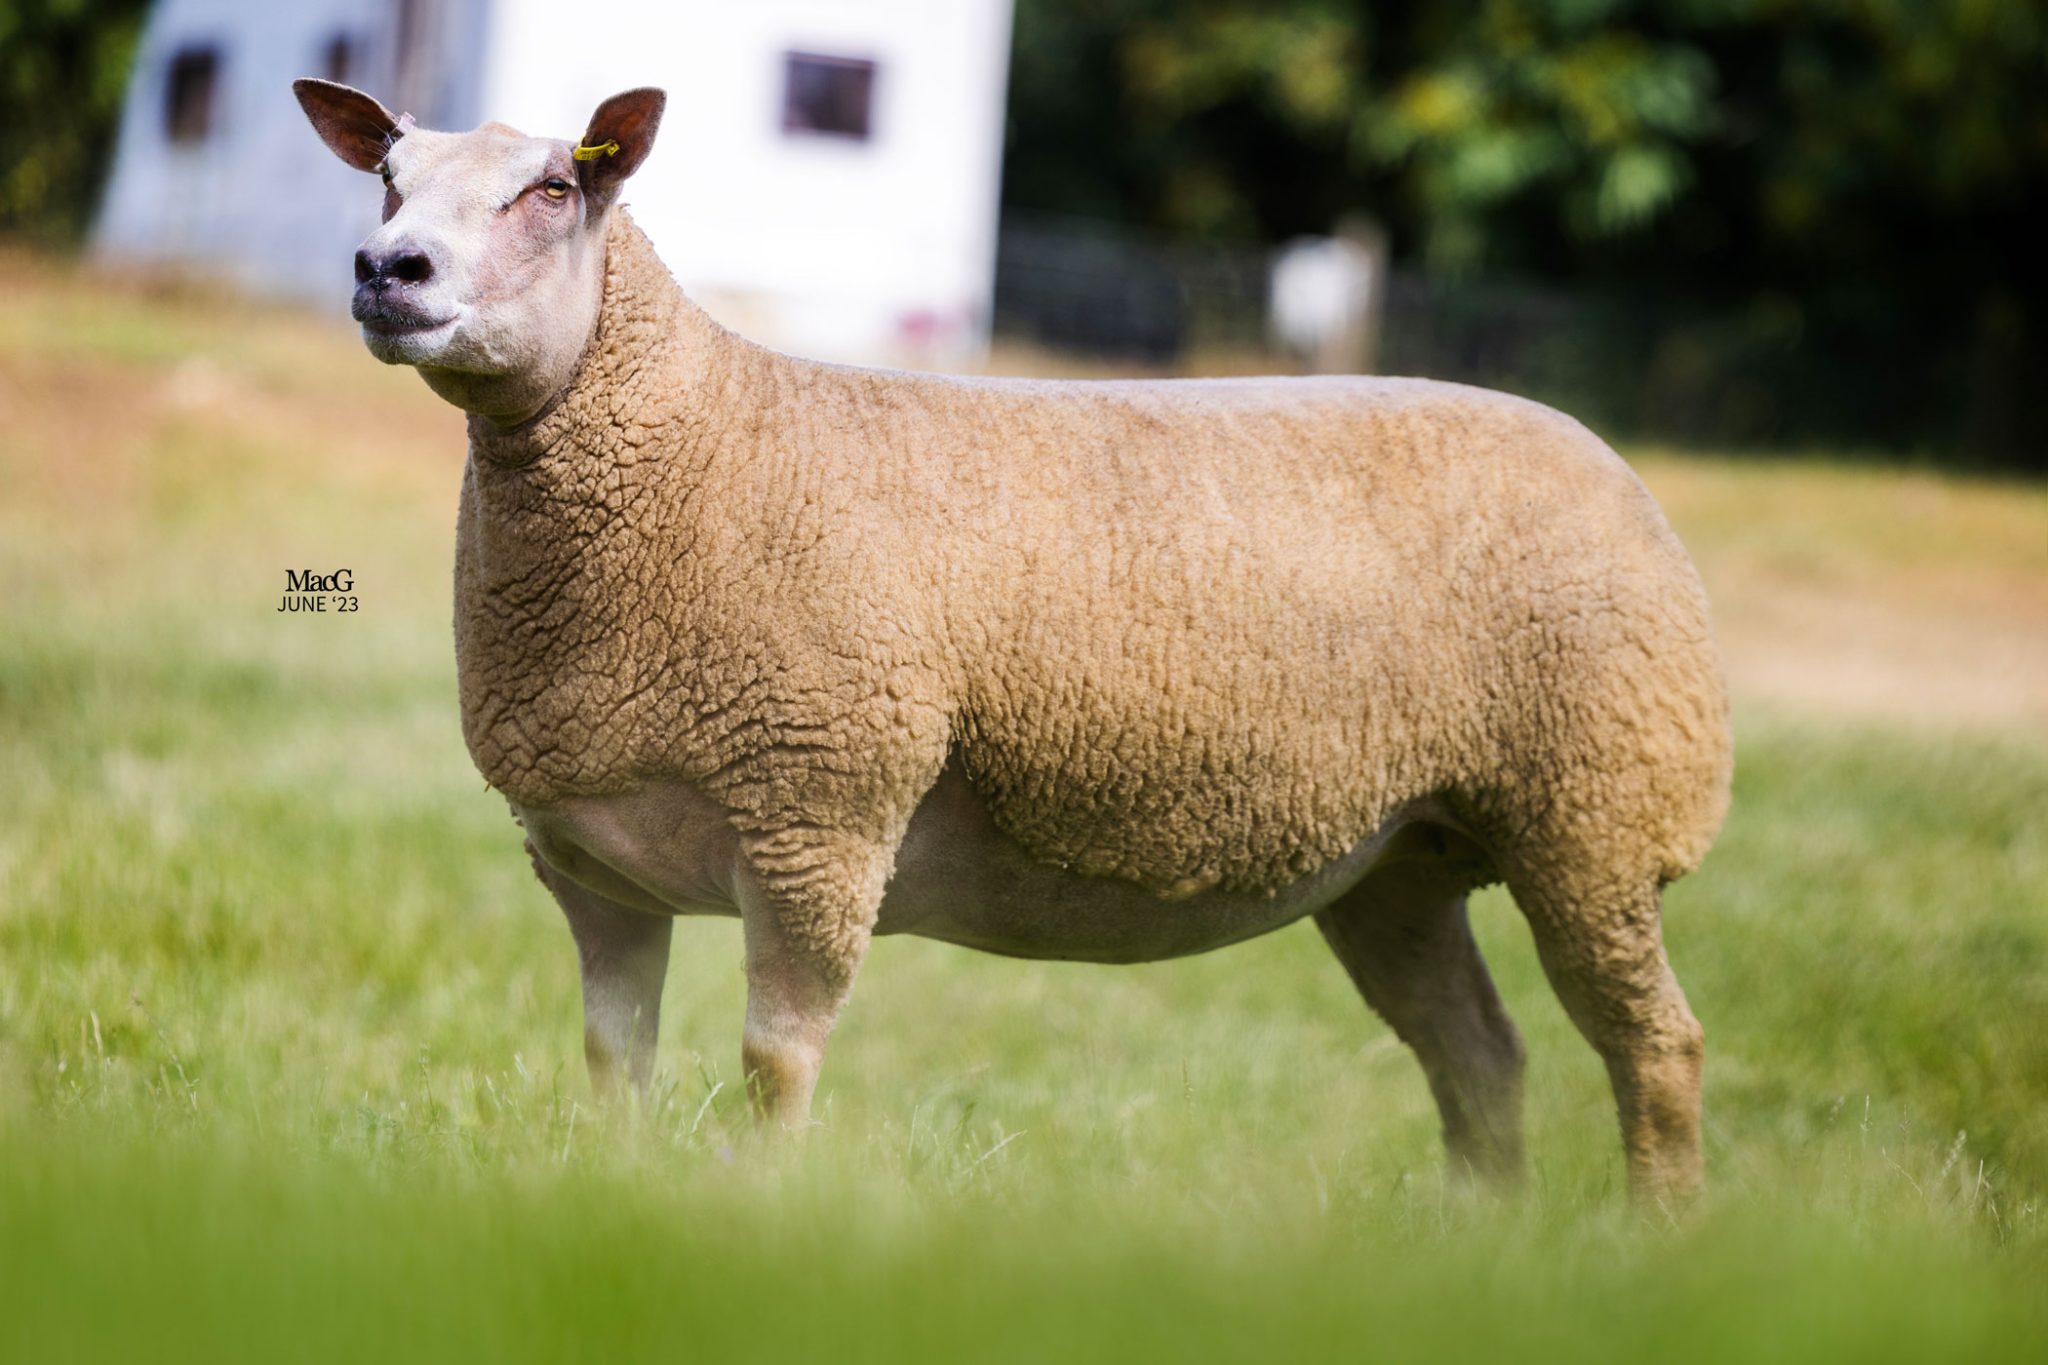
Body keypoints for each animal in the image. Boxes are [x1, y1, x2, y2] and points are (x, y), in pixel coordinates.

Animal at [293, 78, 1733, 1204]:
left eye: (550, 187)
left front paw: (758, 1216)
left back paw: (1655, 1239)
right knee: (1479, 1055)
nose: (387, 271)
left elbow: (775, 1062)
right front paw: (604, 1202)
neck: (704, 445)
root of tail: (1622, 473)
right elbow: (611, 1061)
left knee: (1654, 1045)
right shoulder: (591, 857)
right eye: (386, 179)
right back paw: (1484, 1233)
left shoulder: (820, 811)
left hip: (1594, 810)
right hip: (1403, 856)